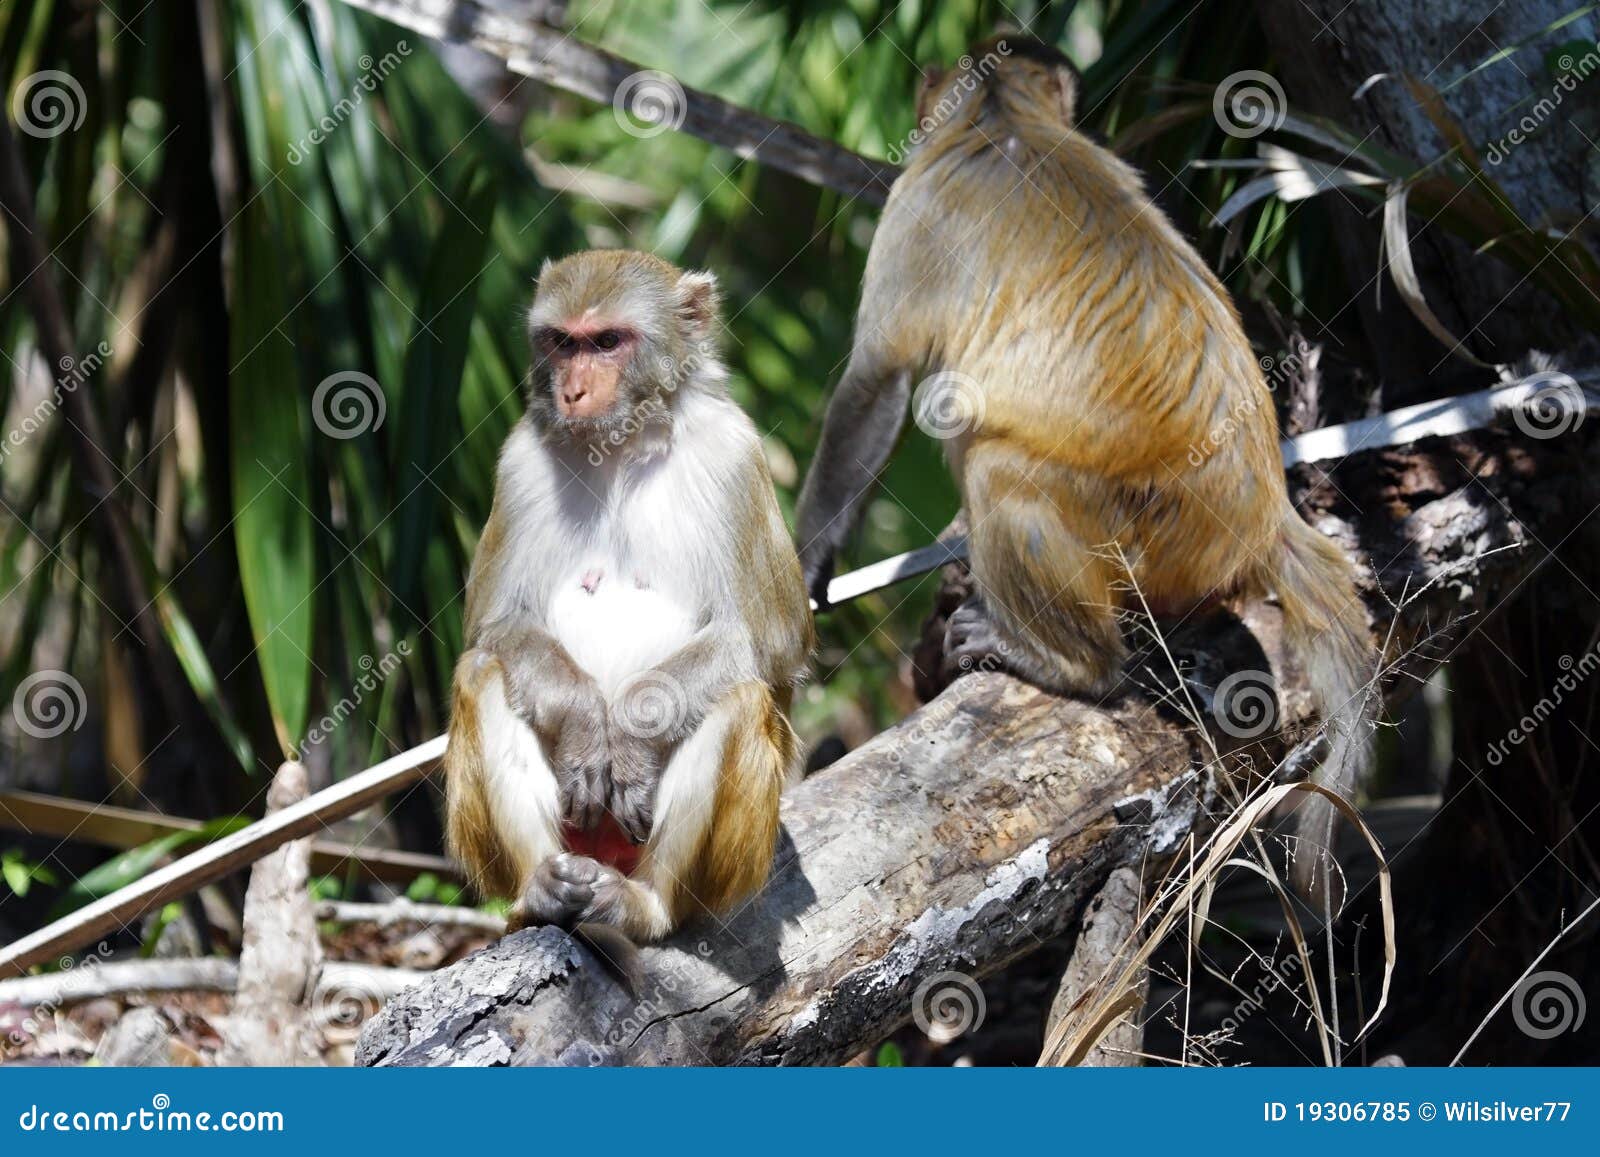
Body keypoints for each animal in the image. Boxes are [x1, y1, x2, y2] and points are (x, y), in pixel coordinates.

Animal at [445, 250, 813, 949]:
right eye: (563, 343)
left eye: (609, 341)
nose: (572, 391)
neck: (621, 446)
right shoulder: (519, 460)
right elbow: (491, 629)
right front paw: (586, 724)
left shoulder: (735, 452)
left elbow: (768, 641)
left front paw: (634, 740)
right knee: (483, 672)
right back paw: (541, 887)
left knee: (738, 696)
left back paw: (648, 905)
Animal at [794, 36, 1374, 897]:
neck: (1001, 112)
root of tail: (1266, 517)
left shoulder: (917, 198)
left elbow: (876, 384)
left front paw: (803, 570)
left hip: (1142, 531)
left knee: (996, 464)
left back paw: (1071, 663)